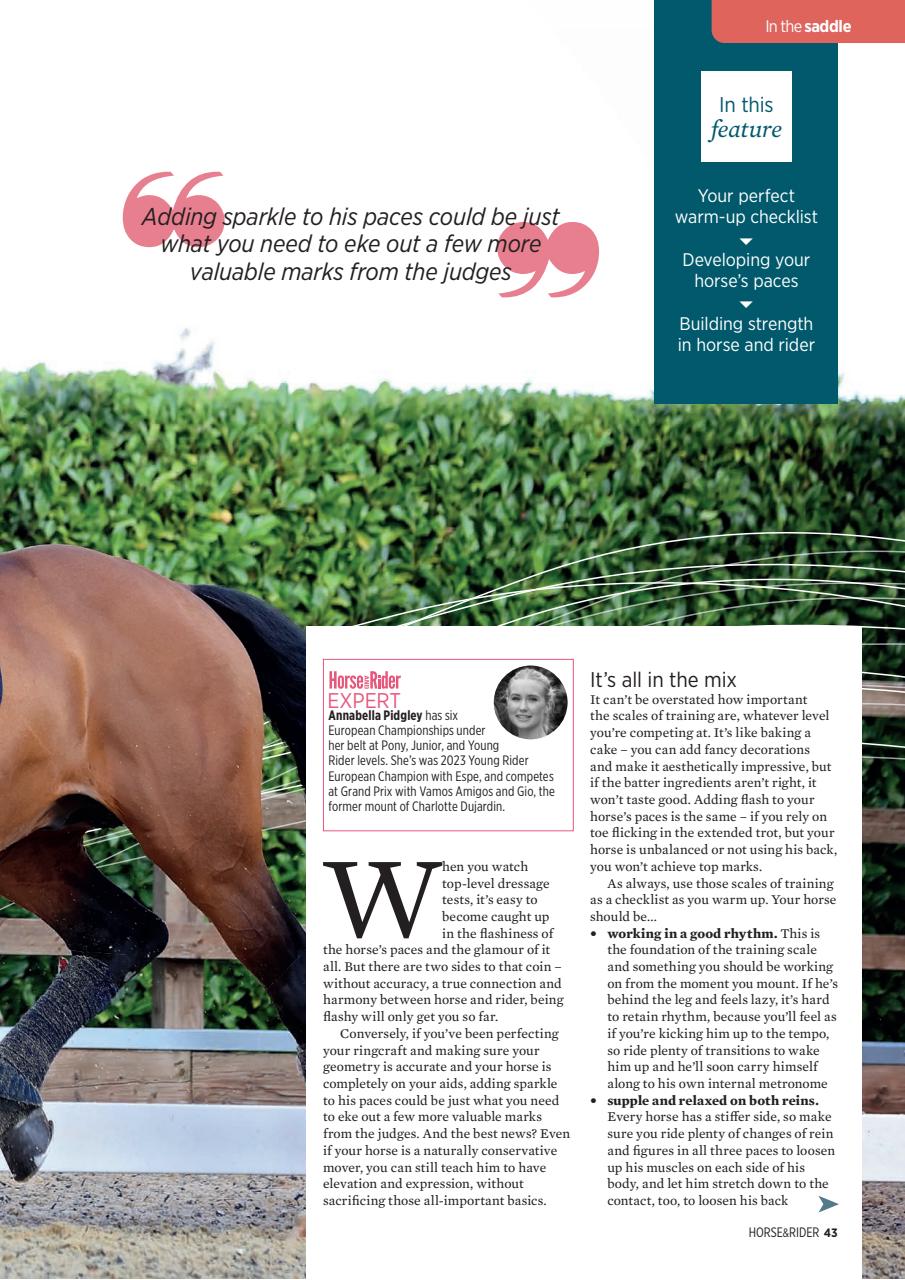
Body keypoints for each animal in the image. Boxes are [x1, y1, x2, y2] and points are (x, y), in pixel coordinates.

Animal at [0, 544, 305, 1180]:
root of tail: (180, 594)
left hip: (204, 845)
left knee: (288, 963)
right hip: (30, 844)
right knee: (125, 935)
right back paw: (17, 1115)